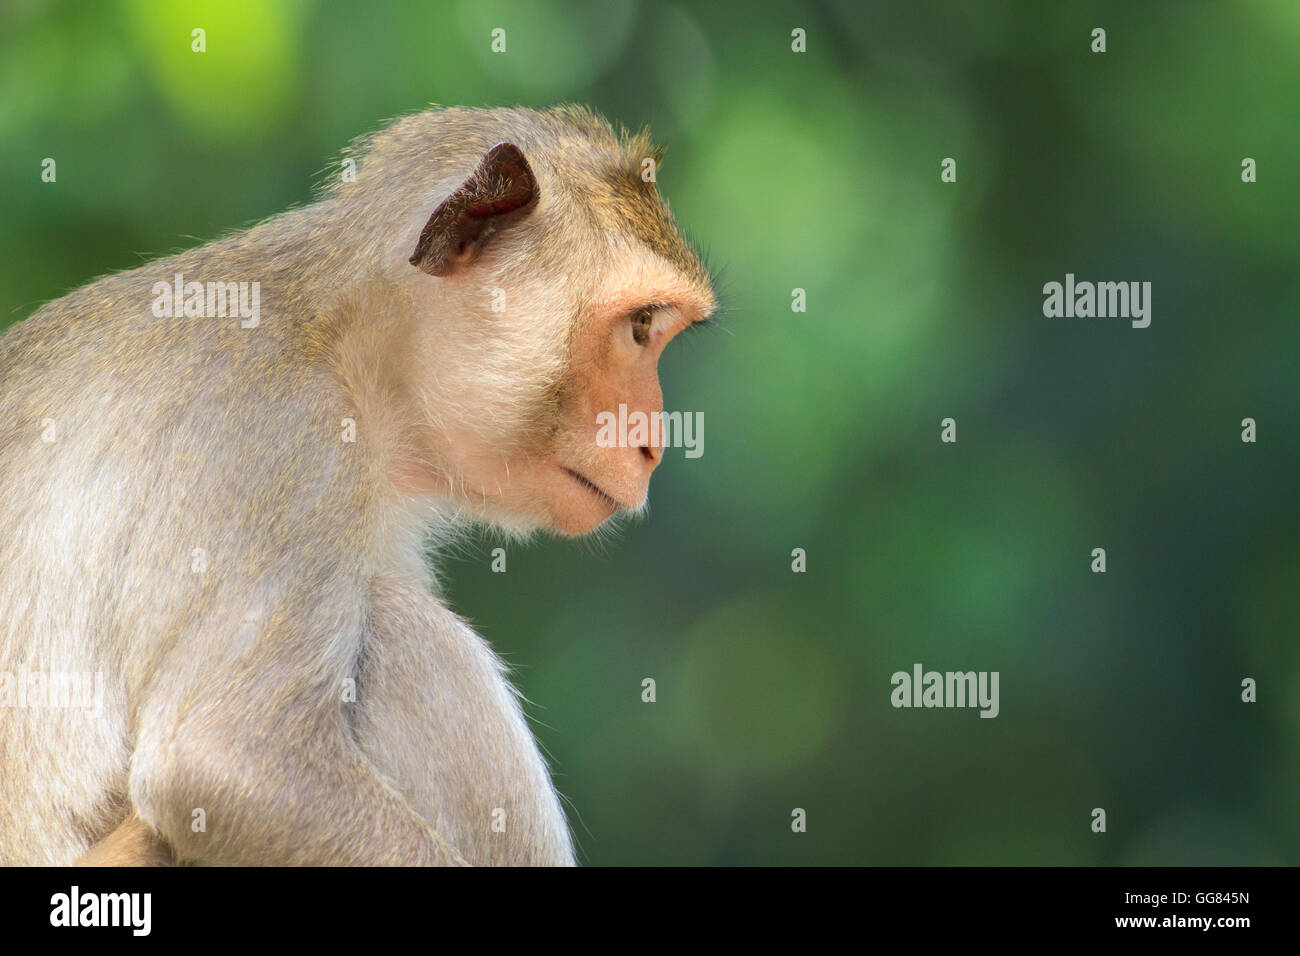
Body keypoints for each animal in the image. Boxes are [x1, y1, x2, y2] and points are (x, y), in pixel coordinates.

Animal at [0, 105, 716, 866]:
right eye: (640, 325)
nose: (652, 443)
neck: (342, 343)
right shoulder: (281, 434)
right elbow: (223, 762)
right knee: (407, 636)